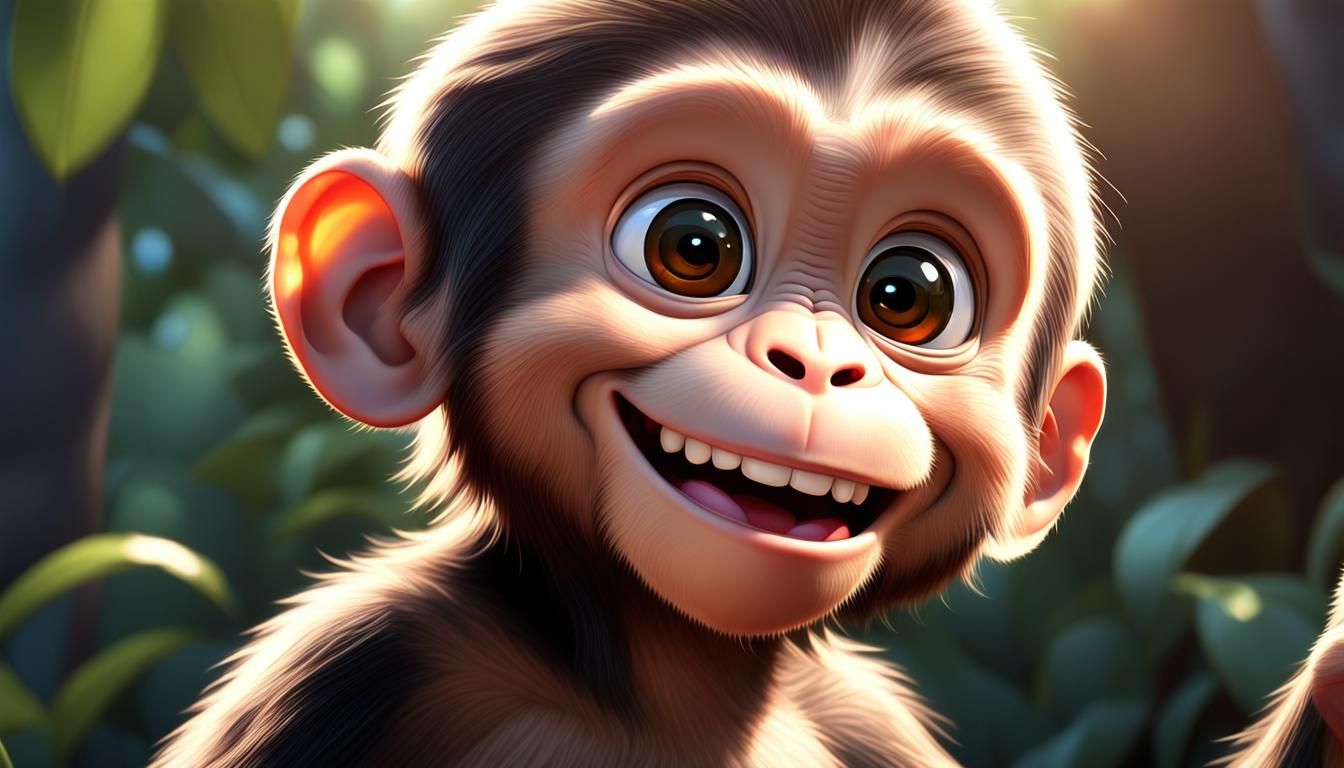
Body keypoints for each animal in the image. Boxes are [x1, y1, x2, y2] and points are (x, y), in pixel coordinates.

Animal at [148, 0, 1123, 765]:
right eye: (694, 245)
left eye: (908, 295)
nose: (815, 364)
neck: (671, 691)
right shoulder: (355, 667)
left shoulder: (870, 726)